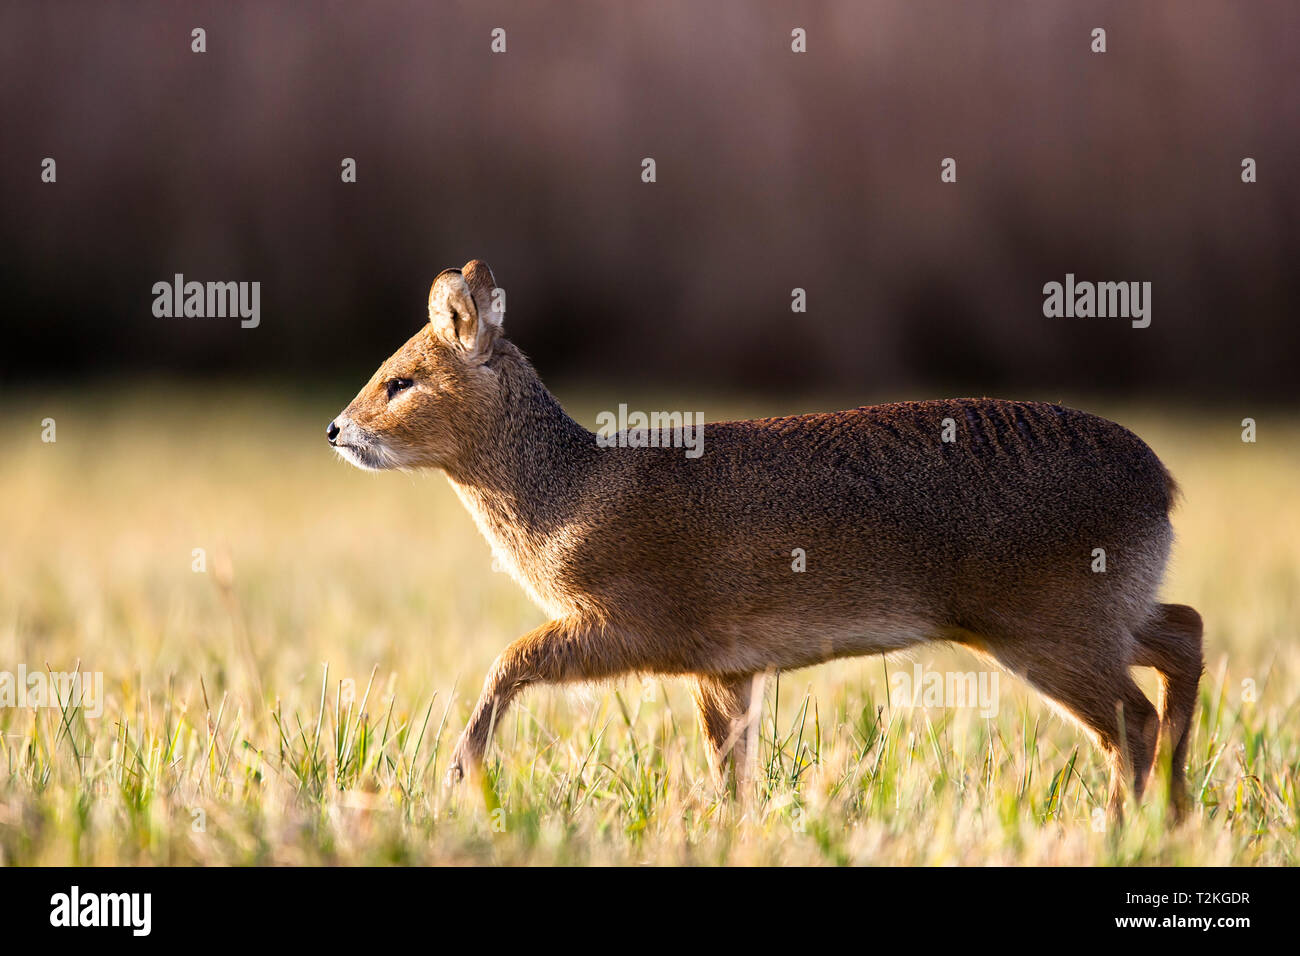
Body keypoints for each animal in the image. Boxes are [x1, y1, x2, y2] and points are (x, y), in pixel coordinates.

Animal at [327, 260, 1203, 818]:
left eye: (400, 380)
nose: (337, 429)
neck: (568, 494)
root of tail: (1162, 484)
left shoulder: (636, 625)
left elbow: (507, 660)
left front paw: (457, 774)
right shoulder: (725, 665)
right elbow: (731, 768)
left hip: (1047, 626)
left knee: (1133, 717)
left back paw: (1125, 826)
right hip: (1099, 613)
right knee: (1183, 636)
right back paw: (1173, 814)